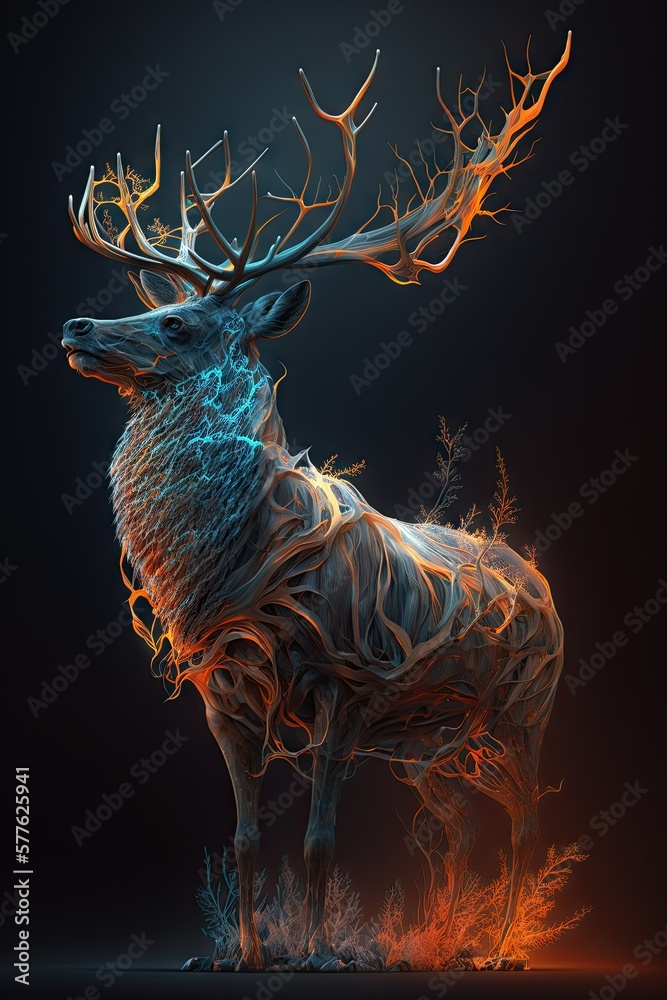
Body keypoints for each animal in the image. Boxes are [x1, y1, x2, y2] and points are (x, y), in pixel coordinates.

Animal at [61, 35, 570, 971]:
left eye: (182, 323)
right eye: (162, 305)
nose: (79, 327)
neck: (232, 561)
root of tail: (540, 580)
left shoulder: (350, 681)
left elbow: (320, 838)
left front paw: (321, 953)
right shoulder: (222, 689)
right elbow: (243, 838)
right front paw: (243, 954)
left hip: (523, 709)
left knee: (525, 822)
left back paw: (497, 947)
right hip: (429, 742)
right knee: (455, 828)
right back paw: (438, 941)